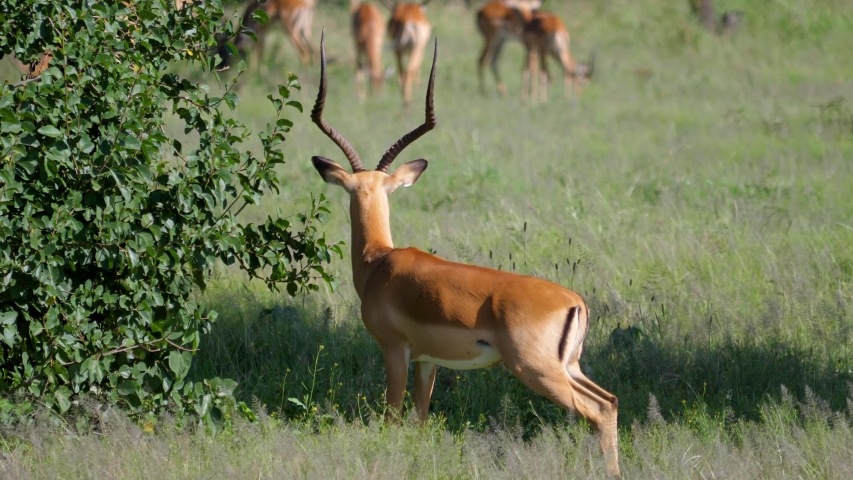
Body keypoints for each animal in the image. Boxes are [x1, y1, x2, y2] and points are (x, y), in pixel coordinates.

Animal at [309, 31, 621, 477]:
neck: (380, 262)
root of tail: (576, 301)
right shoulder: (427, 361)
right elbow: (420, 419)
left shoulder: (395, 351)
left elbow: (392, 418)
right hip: (569, 367)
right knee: (610, 401)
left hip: (538, 371)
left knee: (596, 410)